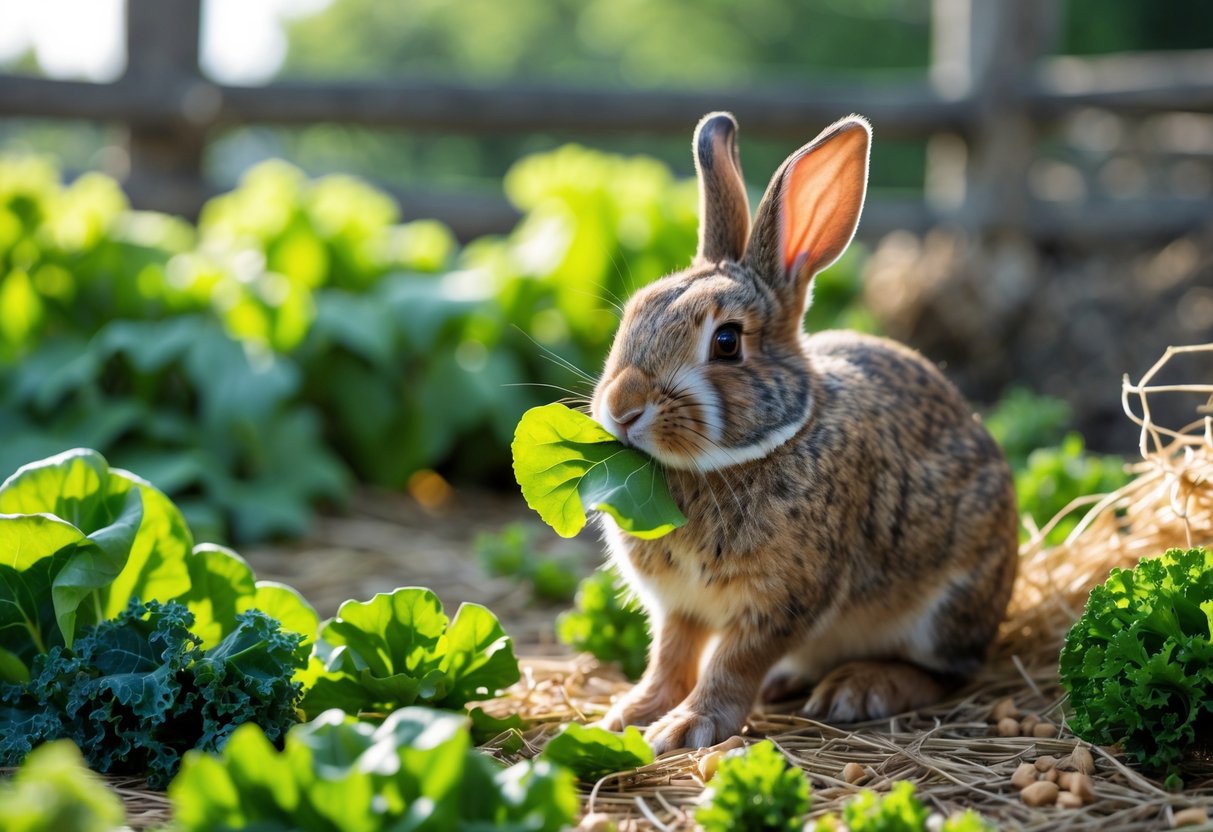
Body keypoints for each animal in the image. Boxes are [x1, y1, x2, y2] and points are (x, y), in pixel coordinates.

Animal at [588, 112, 1018, 754]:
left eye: (726, 342)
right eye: (635, 312)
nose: (621, 408)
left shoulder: (782, 603)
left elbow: (732, 664)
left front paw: (686, 727)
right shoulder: (680, 607)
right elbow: (671, 656)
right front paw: (630, 714)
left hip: (947, 606)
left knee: (945, 672)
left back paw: (859, 689)